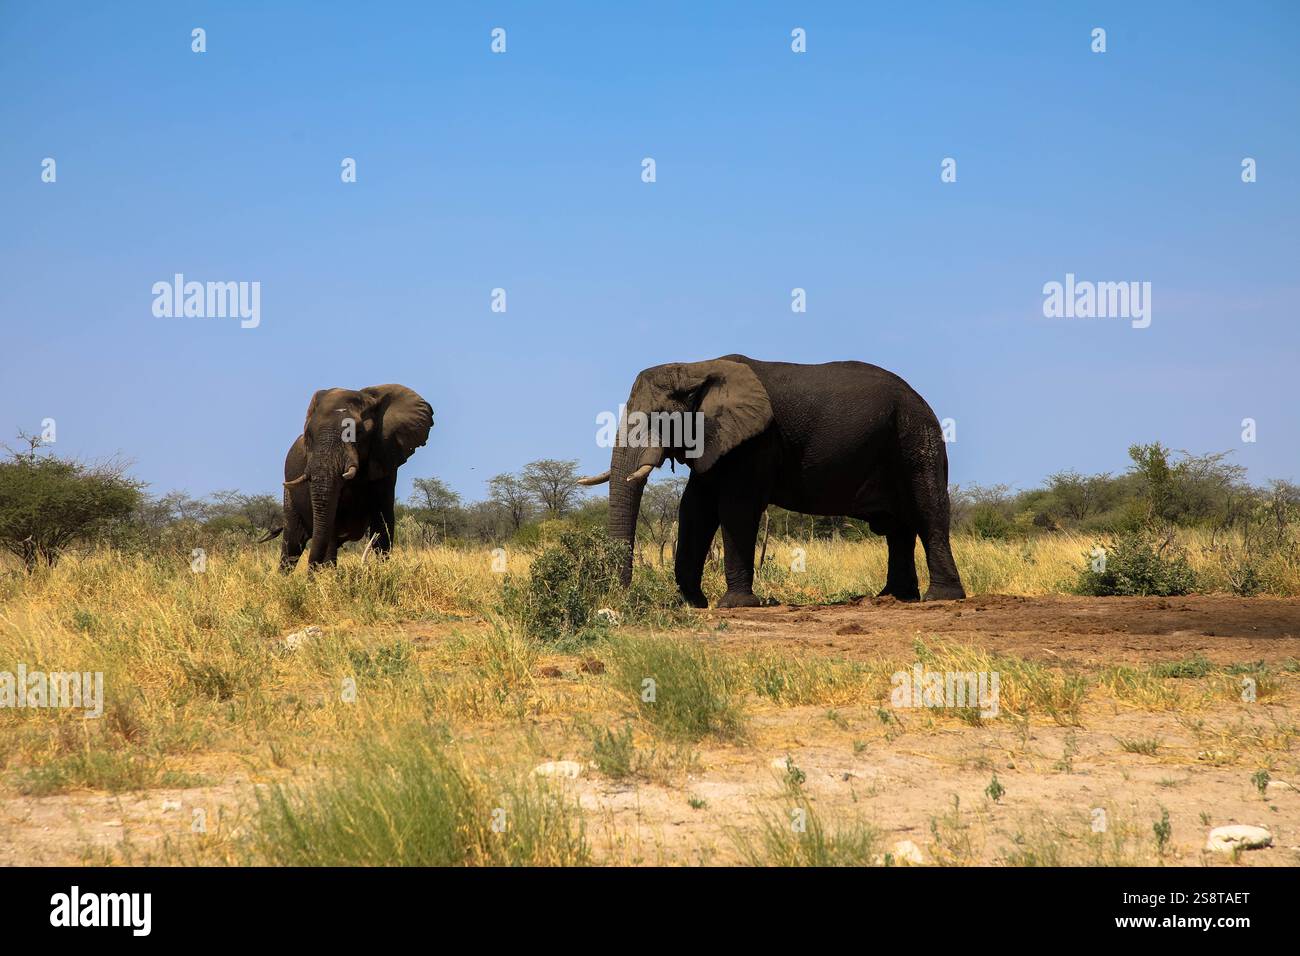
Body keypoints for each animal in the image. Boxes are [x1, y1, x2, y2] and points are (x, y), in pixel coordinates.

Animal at [265, 384, 432, 570]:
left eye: (358, 432)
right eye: (309, 435)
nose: (311, 573)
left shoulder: (385, 460)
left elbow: (383, 522)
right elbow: (331, 524)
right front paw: (327, 574)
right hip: (290, 498)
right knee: (292, 545)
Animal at [578, 355, 965, 608]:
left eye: (657, 419)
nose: (618, 601)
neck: (695, 368)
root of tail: (920, 398)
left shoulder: (757, 441)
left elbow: (736, 508)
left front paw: (734, 605)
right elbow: (695, 510)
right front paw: (693, 603)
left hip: (917, 438)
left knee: (928, 512)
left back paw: (940, 598)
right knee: (899, 528)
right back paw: (894, 598)